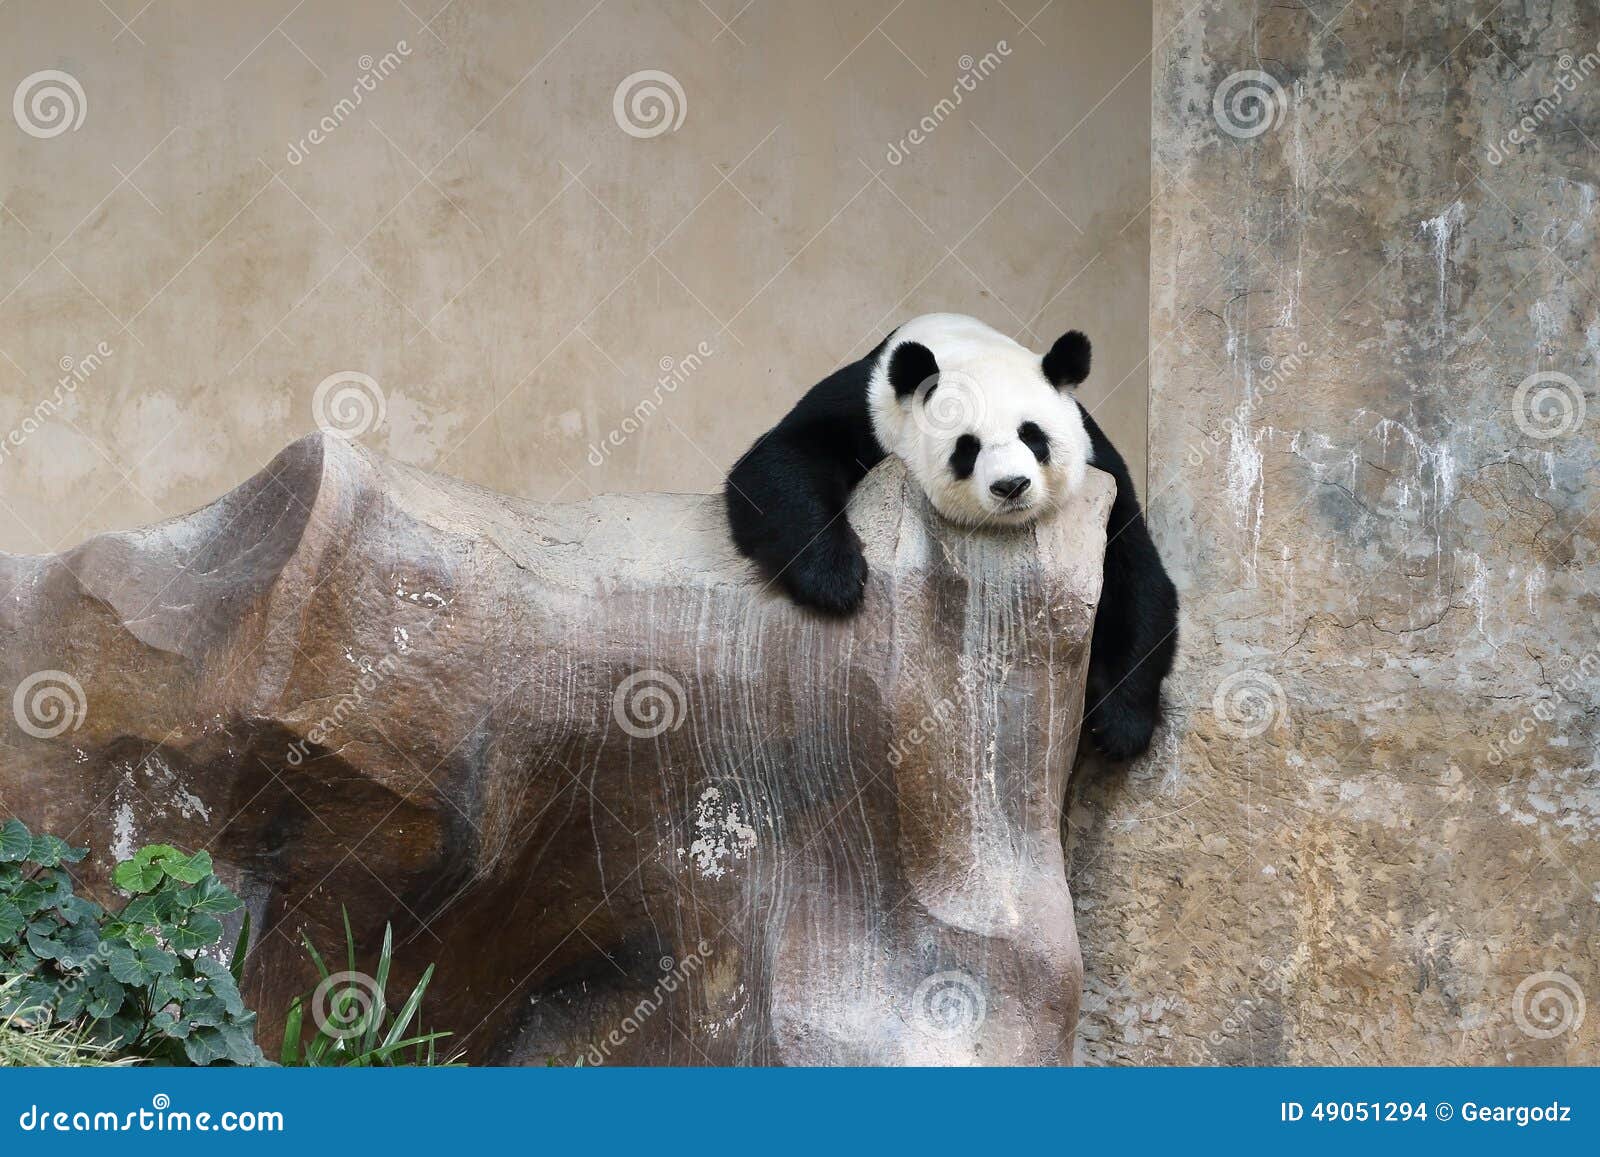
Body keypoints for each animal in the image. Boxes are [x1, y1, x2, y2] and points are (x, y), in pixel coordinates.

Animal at [723, 313, 1178, 761]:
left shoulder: (1098, 464)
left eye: (1033, 436)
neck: (964, 345)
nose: (1011, 486)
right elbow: (777, 461)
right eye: (968, 447)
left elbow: (1136, 574)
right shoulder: (868, 407)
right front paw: (833, 578)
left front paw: (1120, 723)